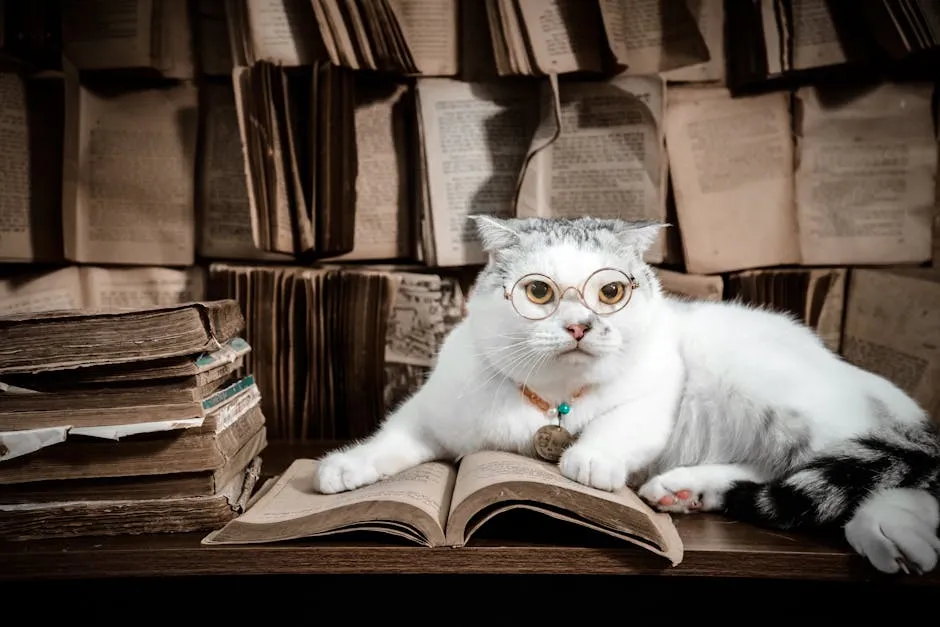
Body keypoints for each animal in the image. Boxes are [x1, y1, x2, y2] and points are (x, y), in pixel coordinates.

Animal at [318, 217, 940, 580]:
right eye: (539, 292)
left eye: (611, 292)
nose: (580, 325)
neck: (551, 398)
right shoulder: (434, 409)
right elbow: (394, 438)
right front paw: (347, 467)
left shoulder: (659, 386)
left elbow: (617, 425)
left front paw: (589, 459)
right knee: (777, 470)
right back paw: (686, 490)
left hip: (773, 393)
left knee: (886, 469)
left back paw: (890, 534)